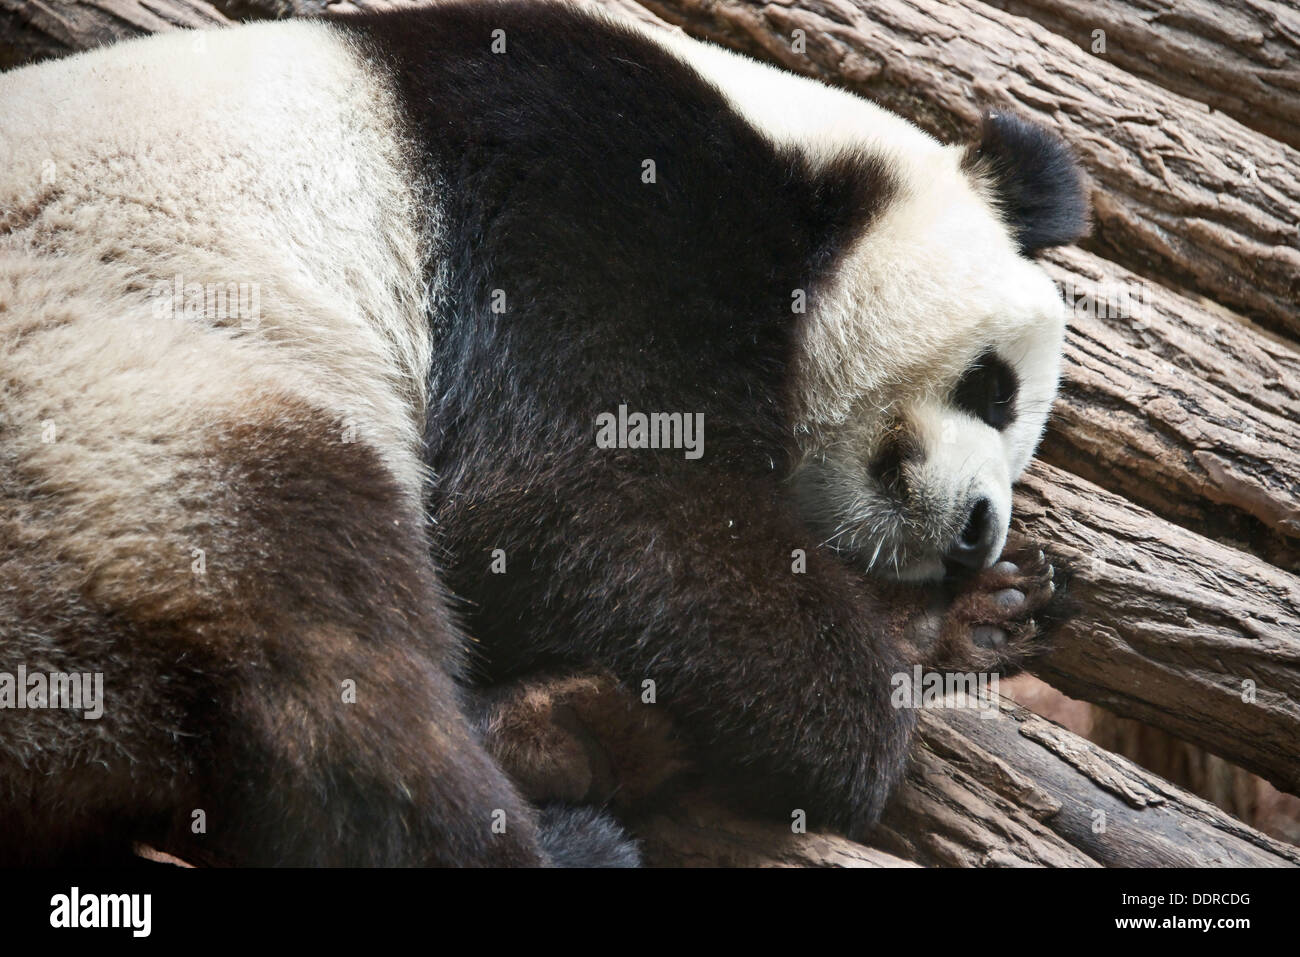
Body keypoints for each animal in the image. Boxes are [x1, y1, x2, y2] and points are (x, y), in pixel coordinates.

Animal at [0, 0, 1086, 865]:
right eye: (993, 388)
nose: (978, 529)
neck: (801, 163)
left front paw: (976, 612)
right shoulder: (590, 178)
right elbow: (577, 488)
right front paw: (883, 682)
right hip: (126, 400)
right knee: (327, 646)